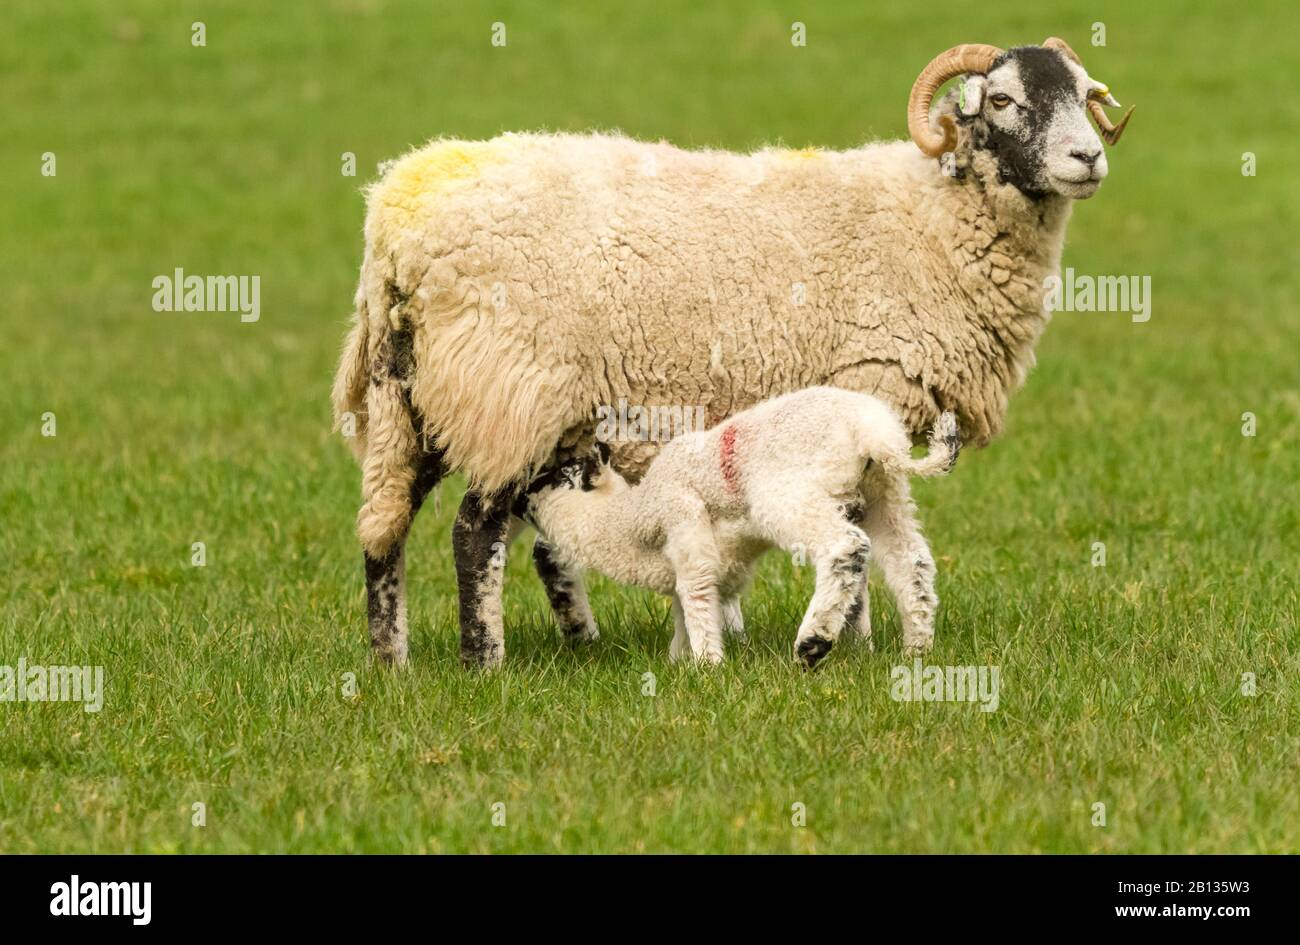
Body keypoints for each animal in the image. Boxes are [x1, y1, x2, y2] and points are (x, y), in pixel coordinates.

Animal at [519, 387, 960, 667]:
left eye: (555, 476)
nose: (518, 494)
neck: (630, 518)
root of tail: (873, 432)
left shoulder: (684, 522)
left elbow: (695, 594)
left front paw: (707, 667)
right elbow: (685, 605)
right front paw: (679, 660)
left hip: (789, 495)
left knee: (845, 547)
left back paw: (813, 643)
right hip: (885, 492)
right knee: (911, 562)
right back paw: (917, 649)